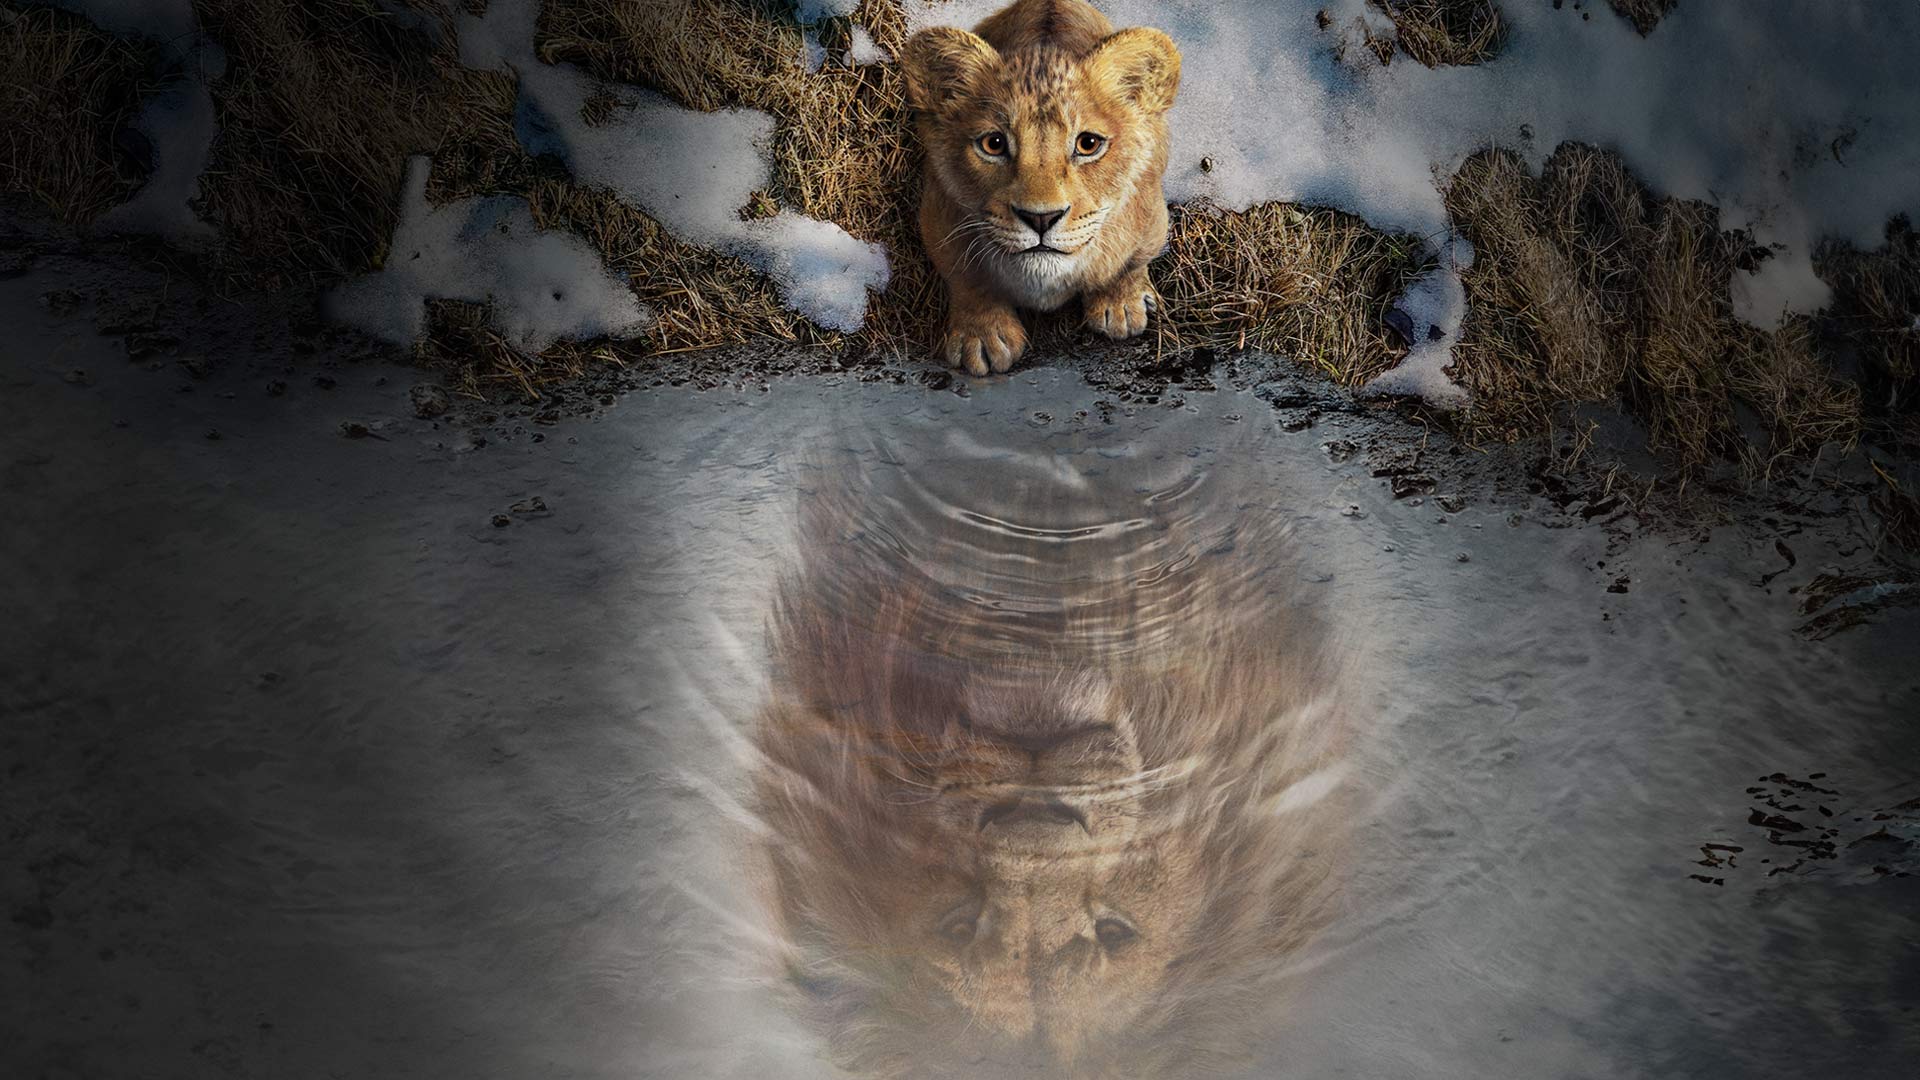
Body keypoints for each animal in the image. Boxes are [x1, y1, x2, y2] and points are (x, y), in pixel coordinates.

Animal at [901, 0, 1182, 376]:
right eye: (993, 144)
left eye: (1088, 144)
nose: (1041, 218)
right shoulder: (937, 216)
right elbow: (966, 277)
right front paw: (983, 336)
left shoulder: (1151, 216)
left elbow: (1130, 262)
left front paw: (1121, 305)